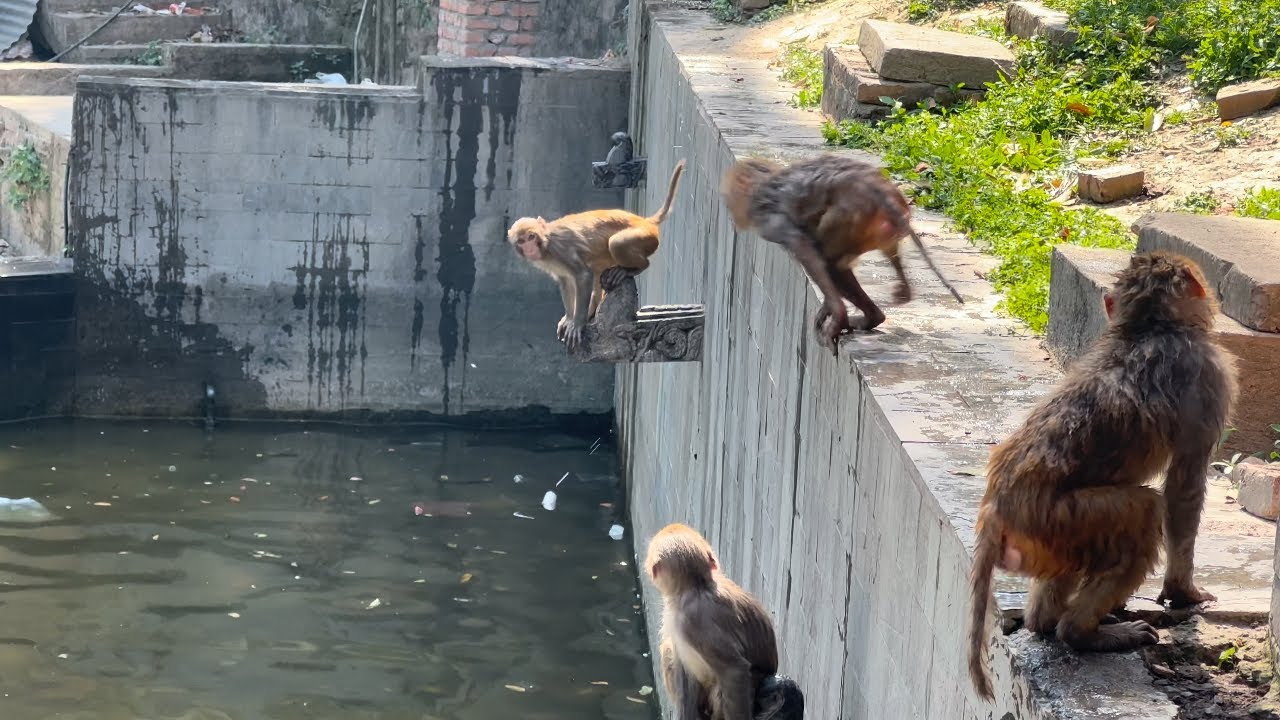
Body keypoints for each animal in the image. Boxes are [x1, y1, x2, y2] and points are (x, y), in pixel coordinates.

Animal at [507, 160, 686, 351]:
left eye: (531, 237)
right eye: (521, 241)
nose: (529, 247)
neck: (546, 245)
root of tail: (645, 221)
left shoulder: (560, 250)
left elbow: (583, 275)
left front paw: (577, 323)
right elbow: (566, 280)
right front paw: (569, 318)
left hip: (645, 236)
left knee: (616, 244)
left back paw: (633, 269)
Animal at [720, 153, 964, 356]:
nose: (733, 212)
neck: (764, 185)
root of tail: (876, 186)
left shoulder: (770, 221)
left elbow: (805, 249)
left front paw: (836, 314)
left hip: (850, 216)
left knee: (829, 261)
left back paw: (854, 314)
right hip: (885, 223)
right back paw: (888, 303)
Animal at [965, 251, 1237, 701]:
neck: (1148, 327)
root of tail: (995, 504)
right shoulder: (1209, 374)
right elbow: (1184, 485)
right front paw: (1183, 591)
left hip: (1048, 535)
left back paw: (1046, 620)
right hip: (1060, 517)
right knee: (1145, 511)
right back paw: (1081, 633)